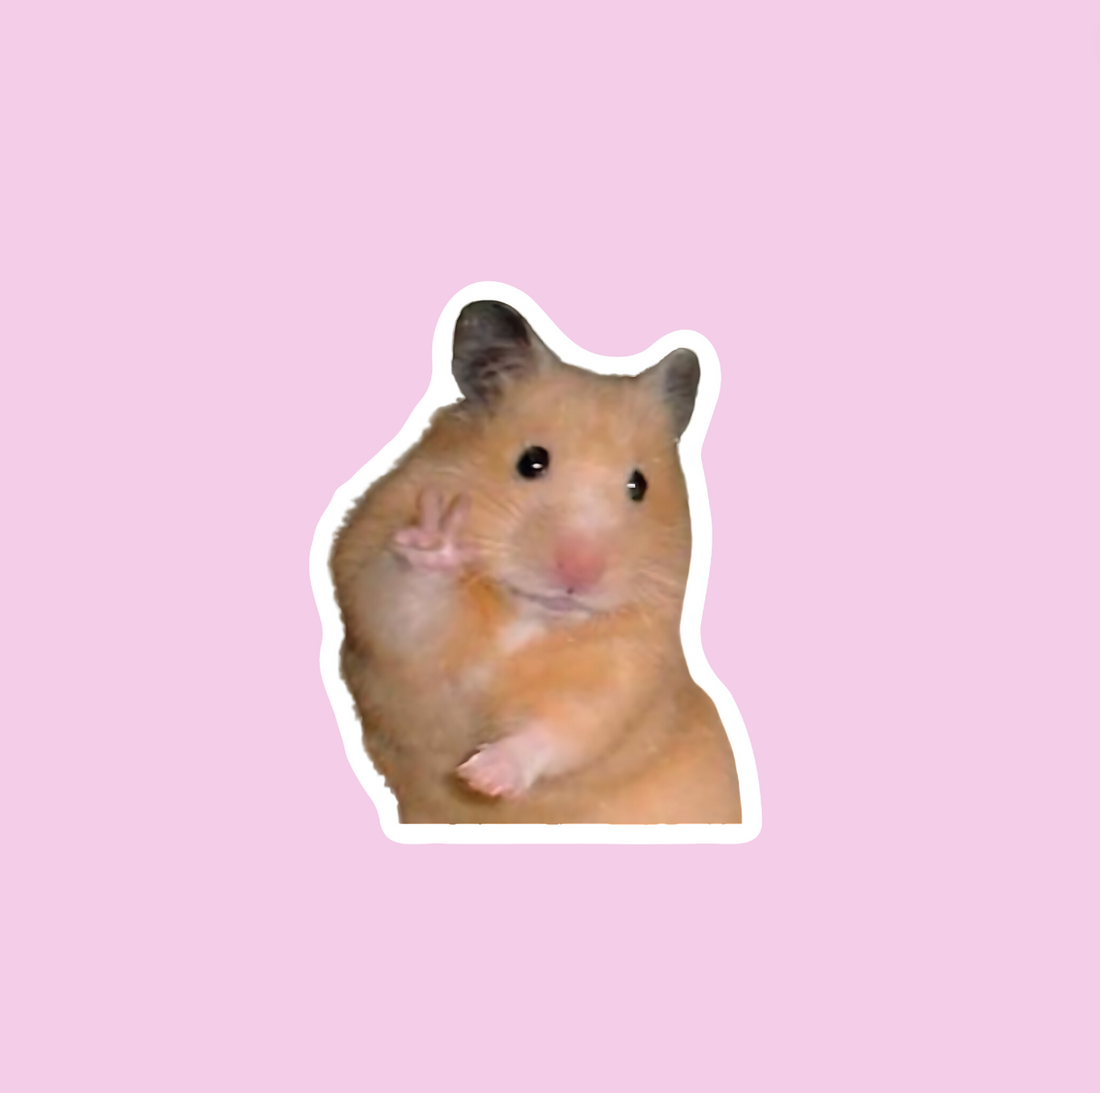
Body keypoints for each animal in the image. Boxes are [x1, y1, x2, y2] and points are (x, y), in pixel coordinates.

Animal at [330, 301, 741, 824]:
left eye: (639, 485)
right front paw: (438, 536)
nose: (579, 574)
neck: (528, 616)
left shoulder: (629, 671)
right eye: (531, 461)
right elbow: (408, 604)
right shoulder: (376, 607)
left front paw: (481, 778)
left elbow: (565, 728)